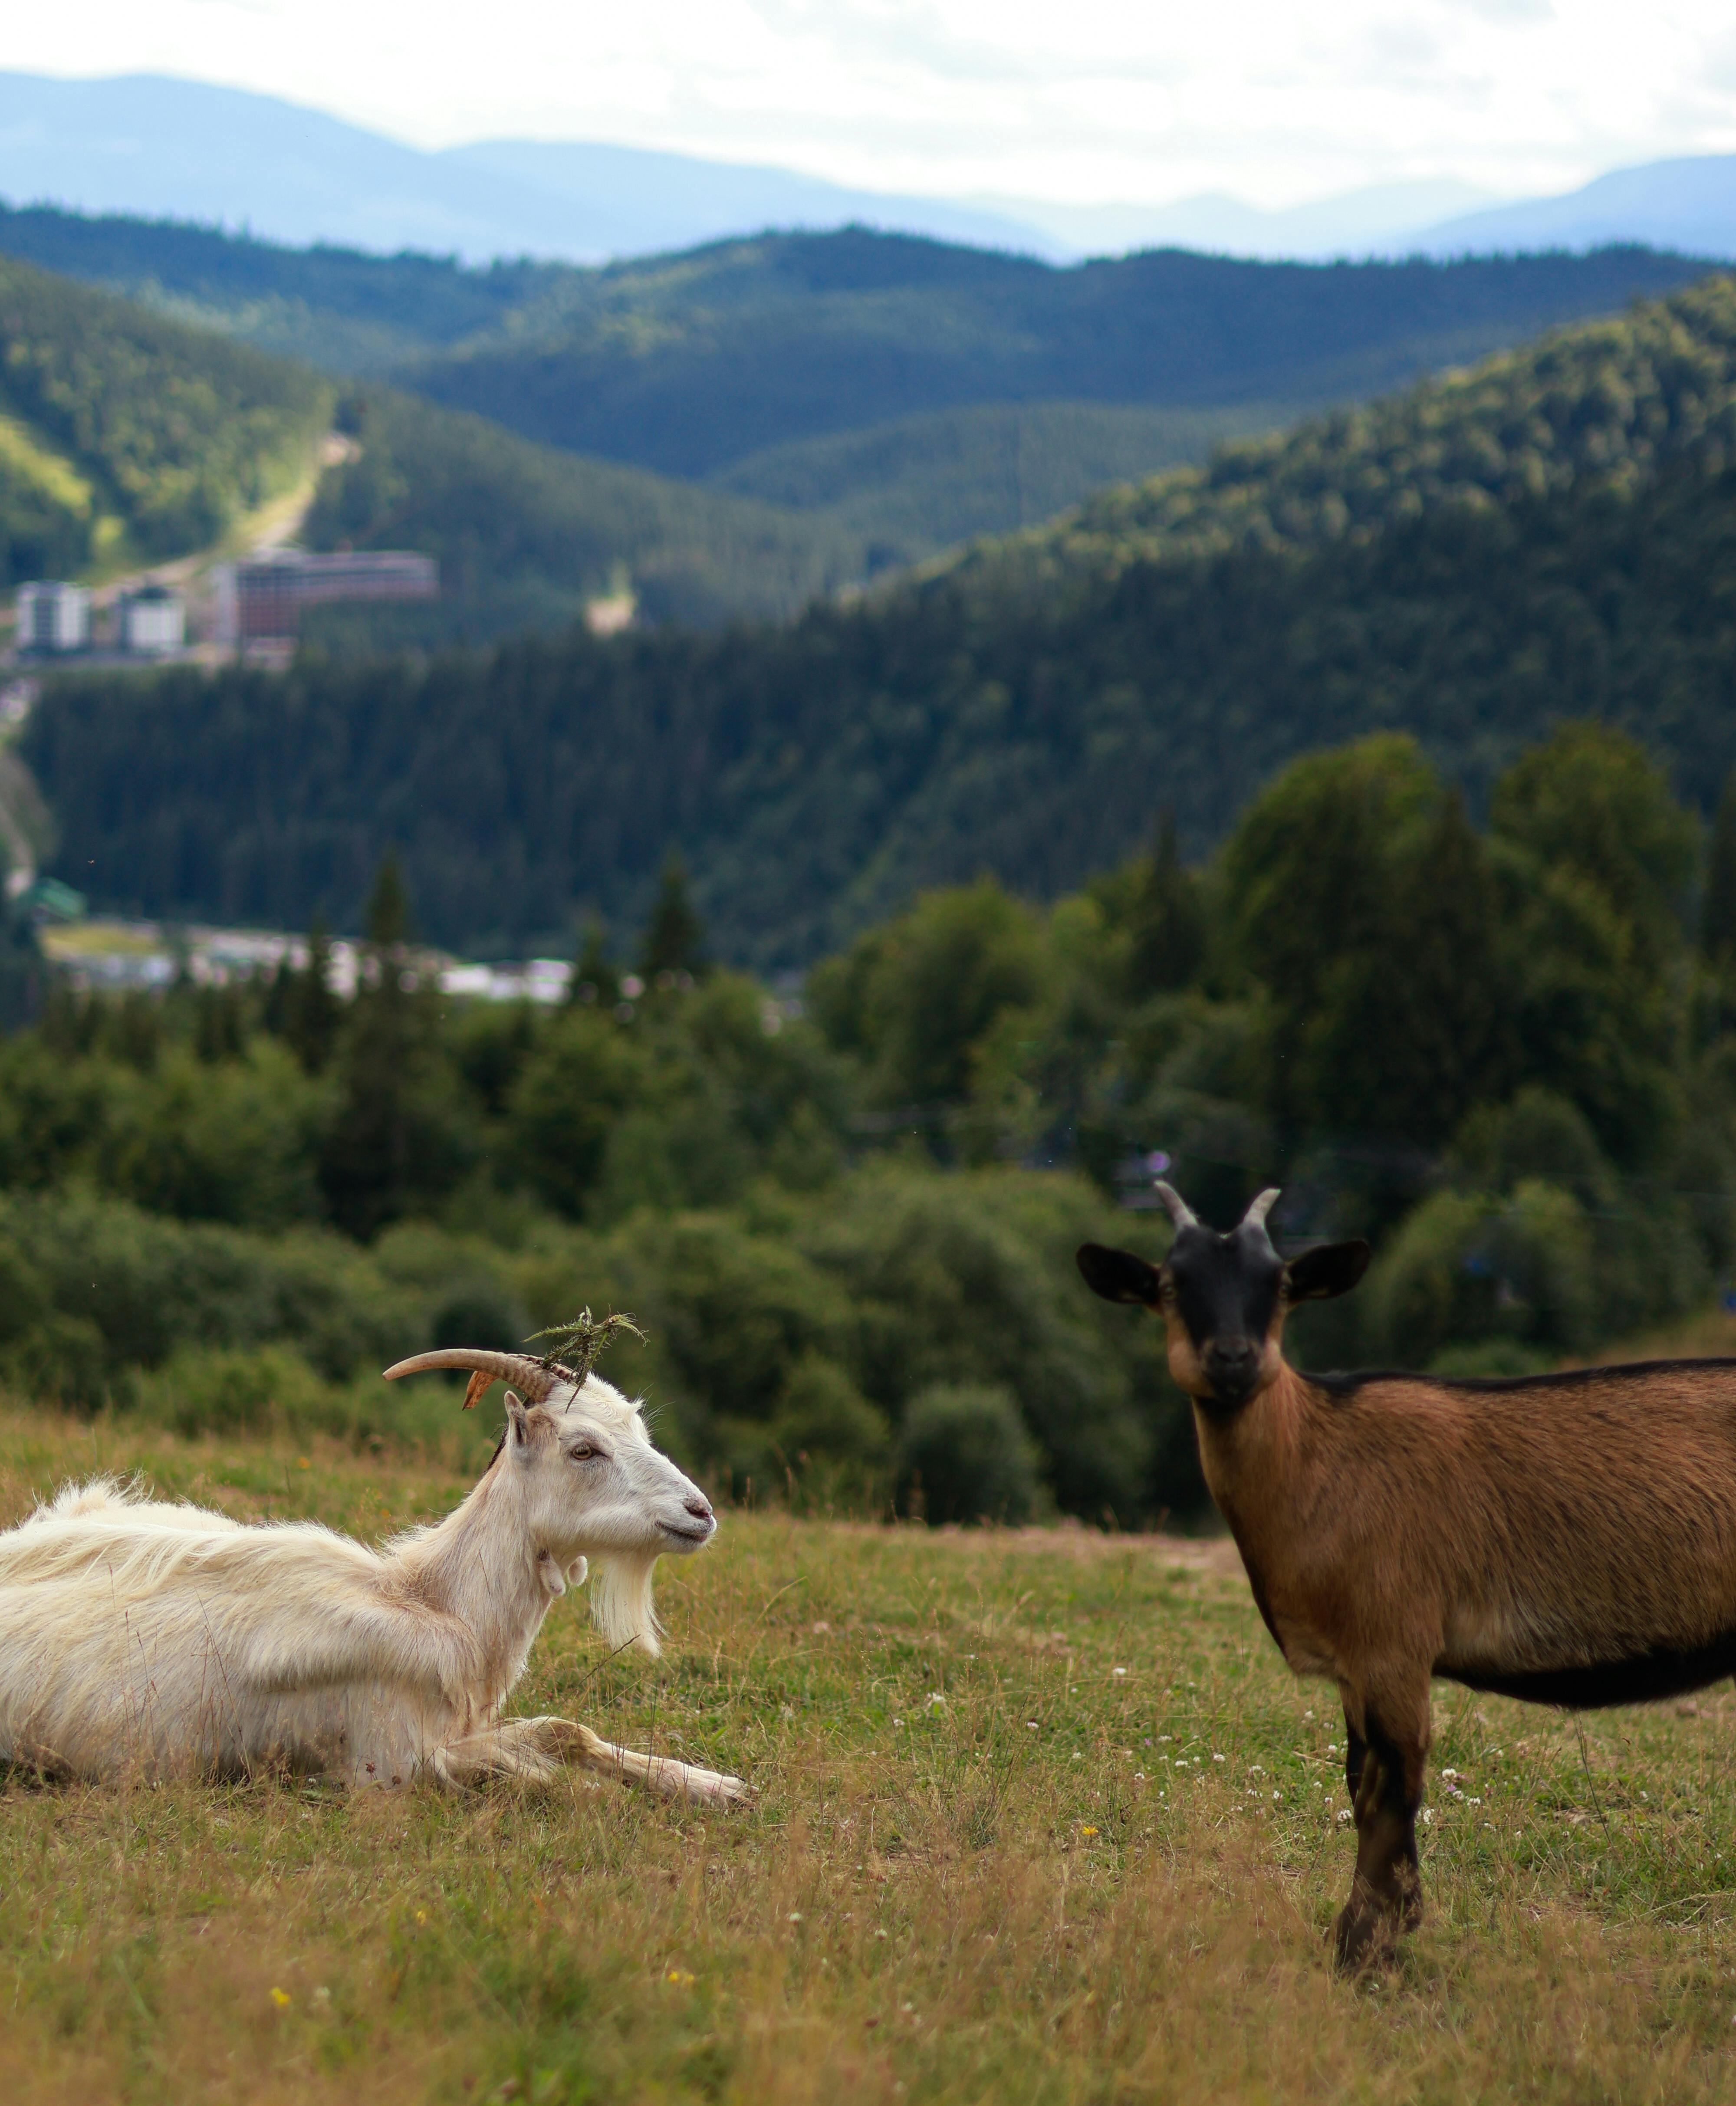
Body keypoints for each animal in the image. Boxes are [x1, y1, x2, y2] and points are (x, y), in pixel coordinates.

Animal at [0, 1348, 744, 1804]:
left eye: (643, 1434)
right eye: (583, 1449)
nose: (700, 1512)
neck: (432, 1603)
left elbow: (565, 1731)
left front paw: (716, 1786)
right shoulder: (392, 1763)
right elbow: (524, 1768)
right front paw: (599, 1798)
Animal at [1079, 1182, 1736, 1968]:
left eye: (1279, 1285)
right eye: (1173, 1285)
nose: (1234, 1359)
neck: (1315, 1460)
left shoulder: (1393, 1641)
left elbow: (1388, 1795)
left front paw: (1367, 1949)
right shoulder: (1354, 1666)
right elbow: (1358, 1780)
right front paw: (1370, 1935)